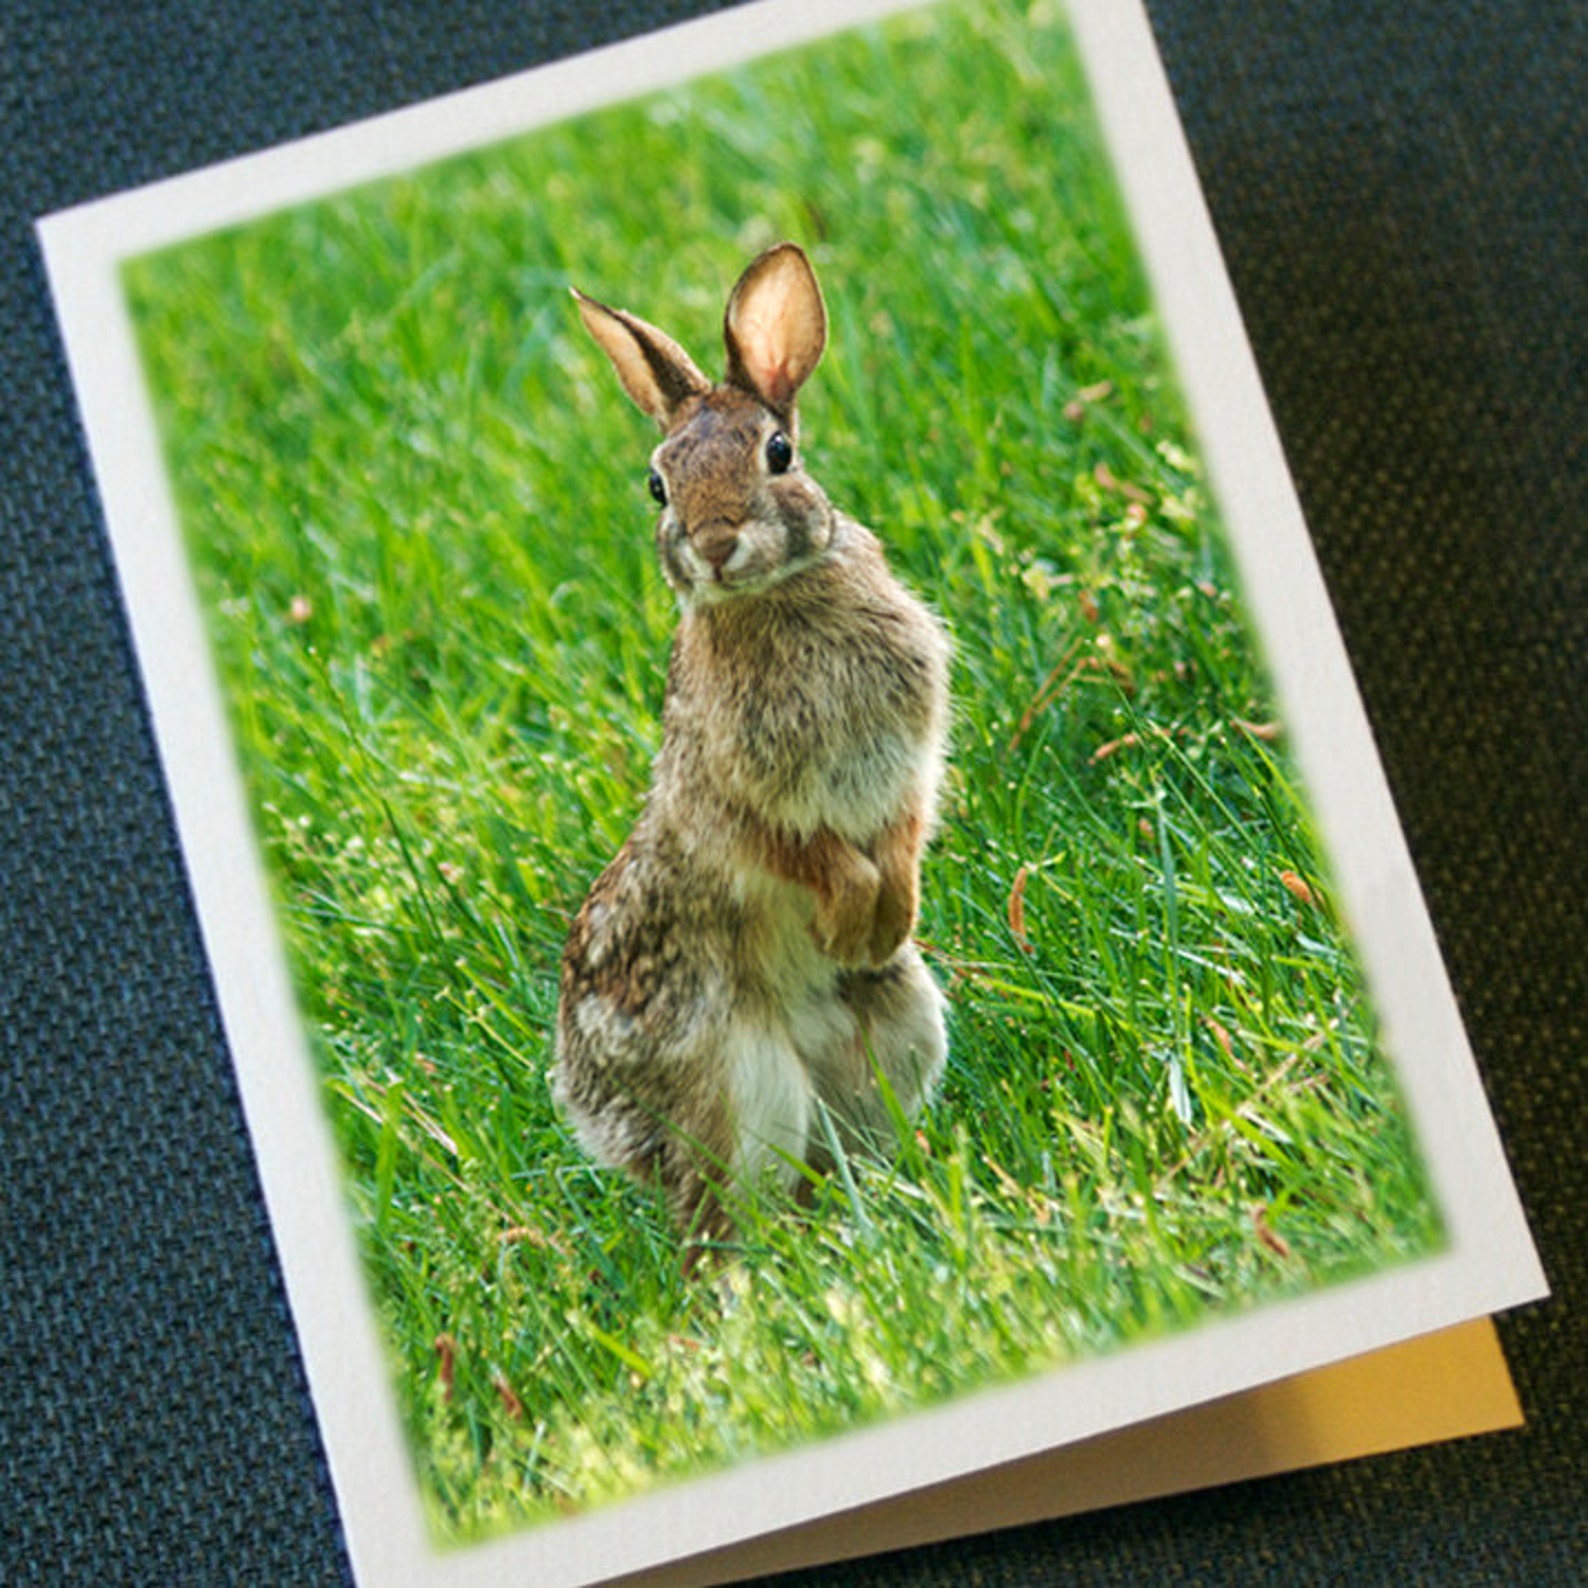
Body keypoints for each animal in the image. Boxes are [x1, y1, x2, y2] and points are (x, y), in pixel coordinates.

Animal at [552, 242, 951, 1257]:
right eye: (658, 485)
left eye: (779, 453)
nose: (716, 542)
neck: (777, 597)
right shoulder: (732, 800)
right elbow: (809, 854)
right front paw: (850, 920)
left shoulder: (908, 760)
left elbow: (902, 836)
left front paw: (887, 918)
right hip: (740, 1085)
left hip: (901, 1020)